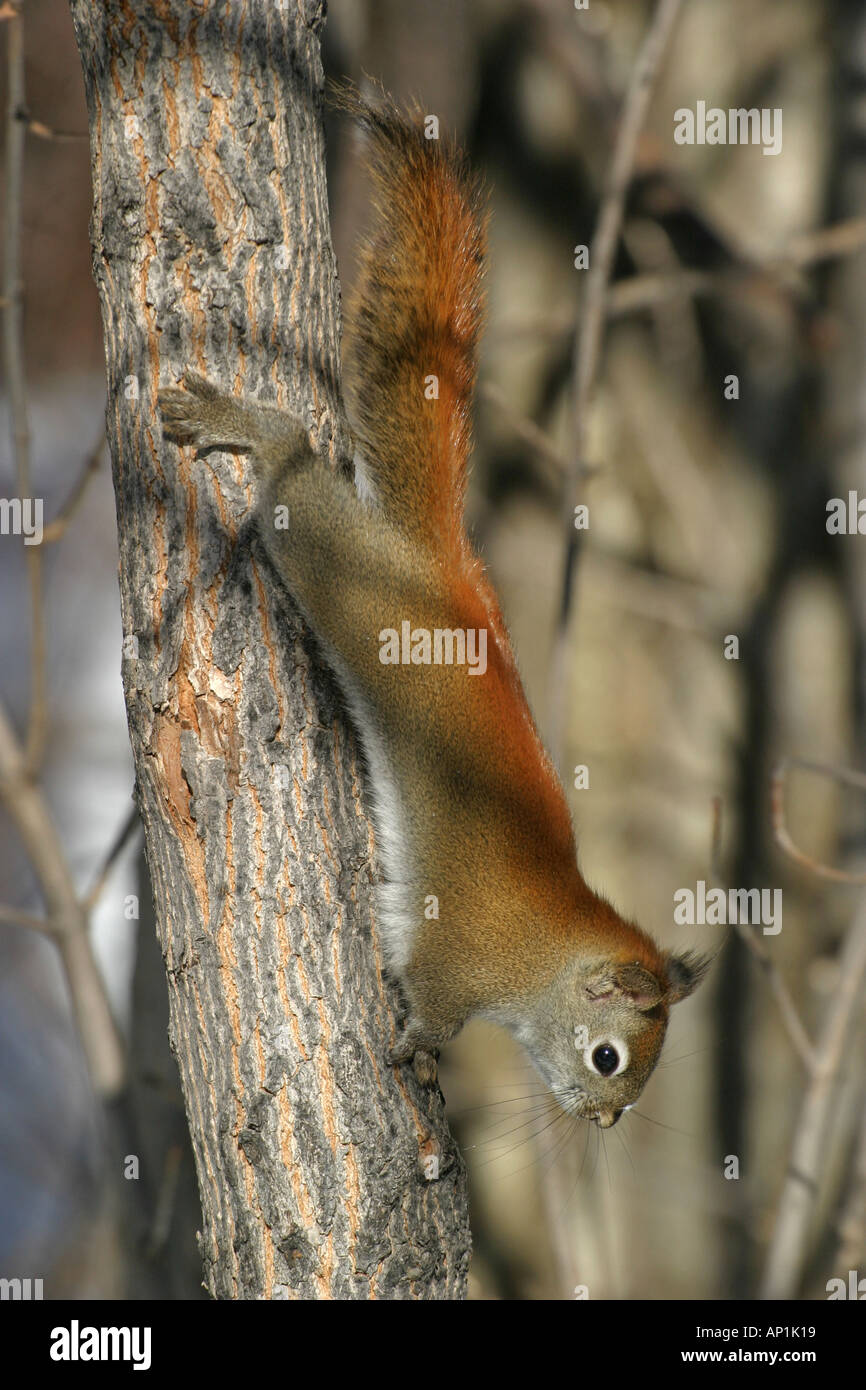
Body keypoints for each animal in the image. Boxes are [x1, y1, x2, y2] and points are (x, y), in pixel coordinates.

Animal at [158, 86, 709, 1129]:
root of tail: (443, 567)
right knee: (294, 473)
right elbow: (432, 1009)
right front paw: (419, 1053)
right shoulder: (458, 963)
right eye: (611, 1057)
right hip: (334, 565)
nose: (605, 1121)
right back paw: (251, 429)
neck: (547, 951)